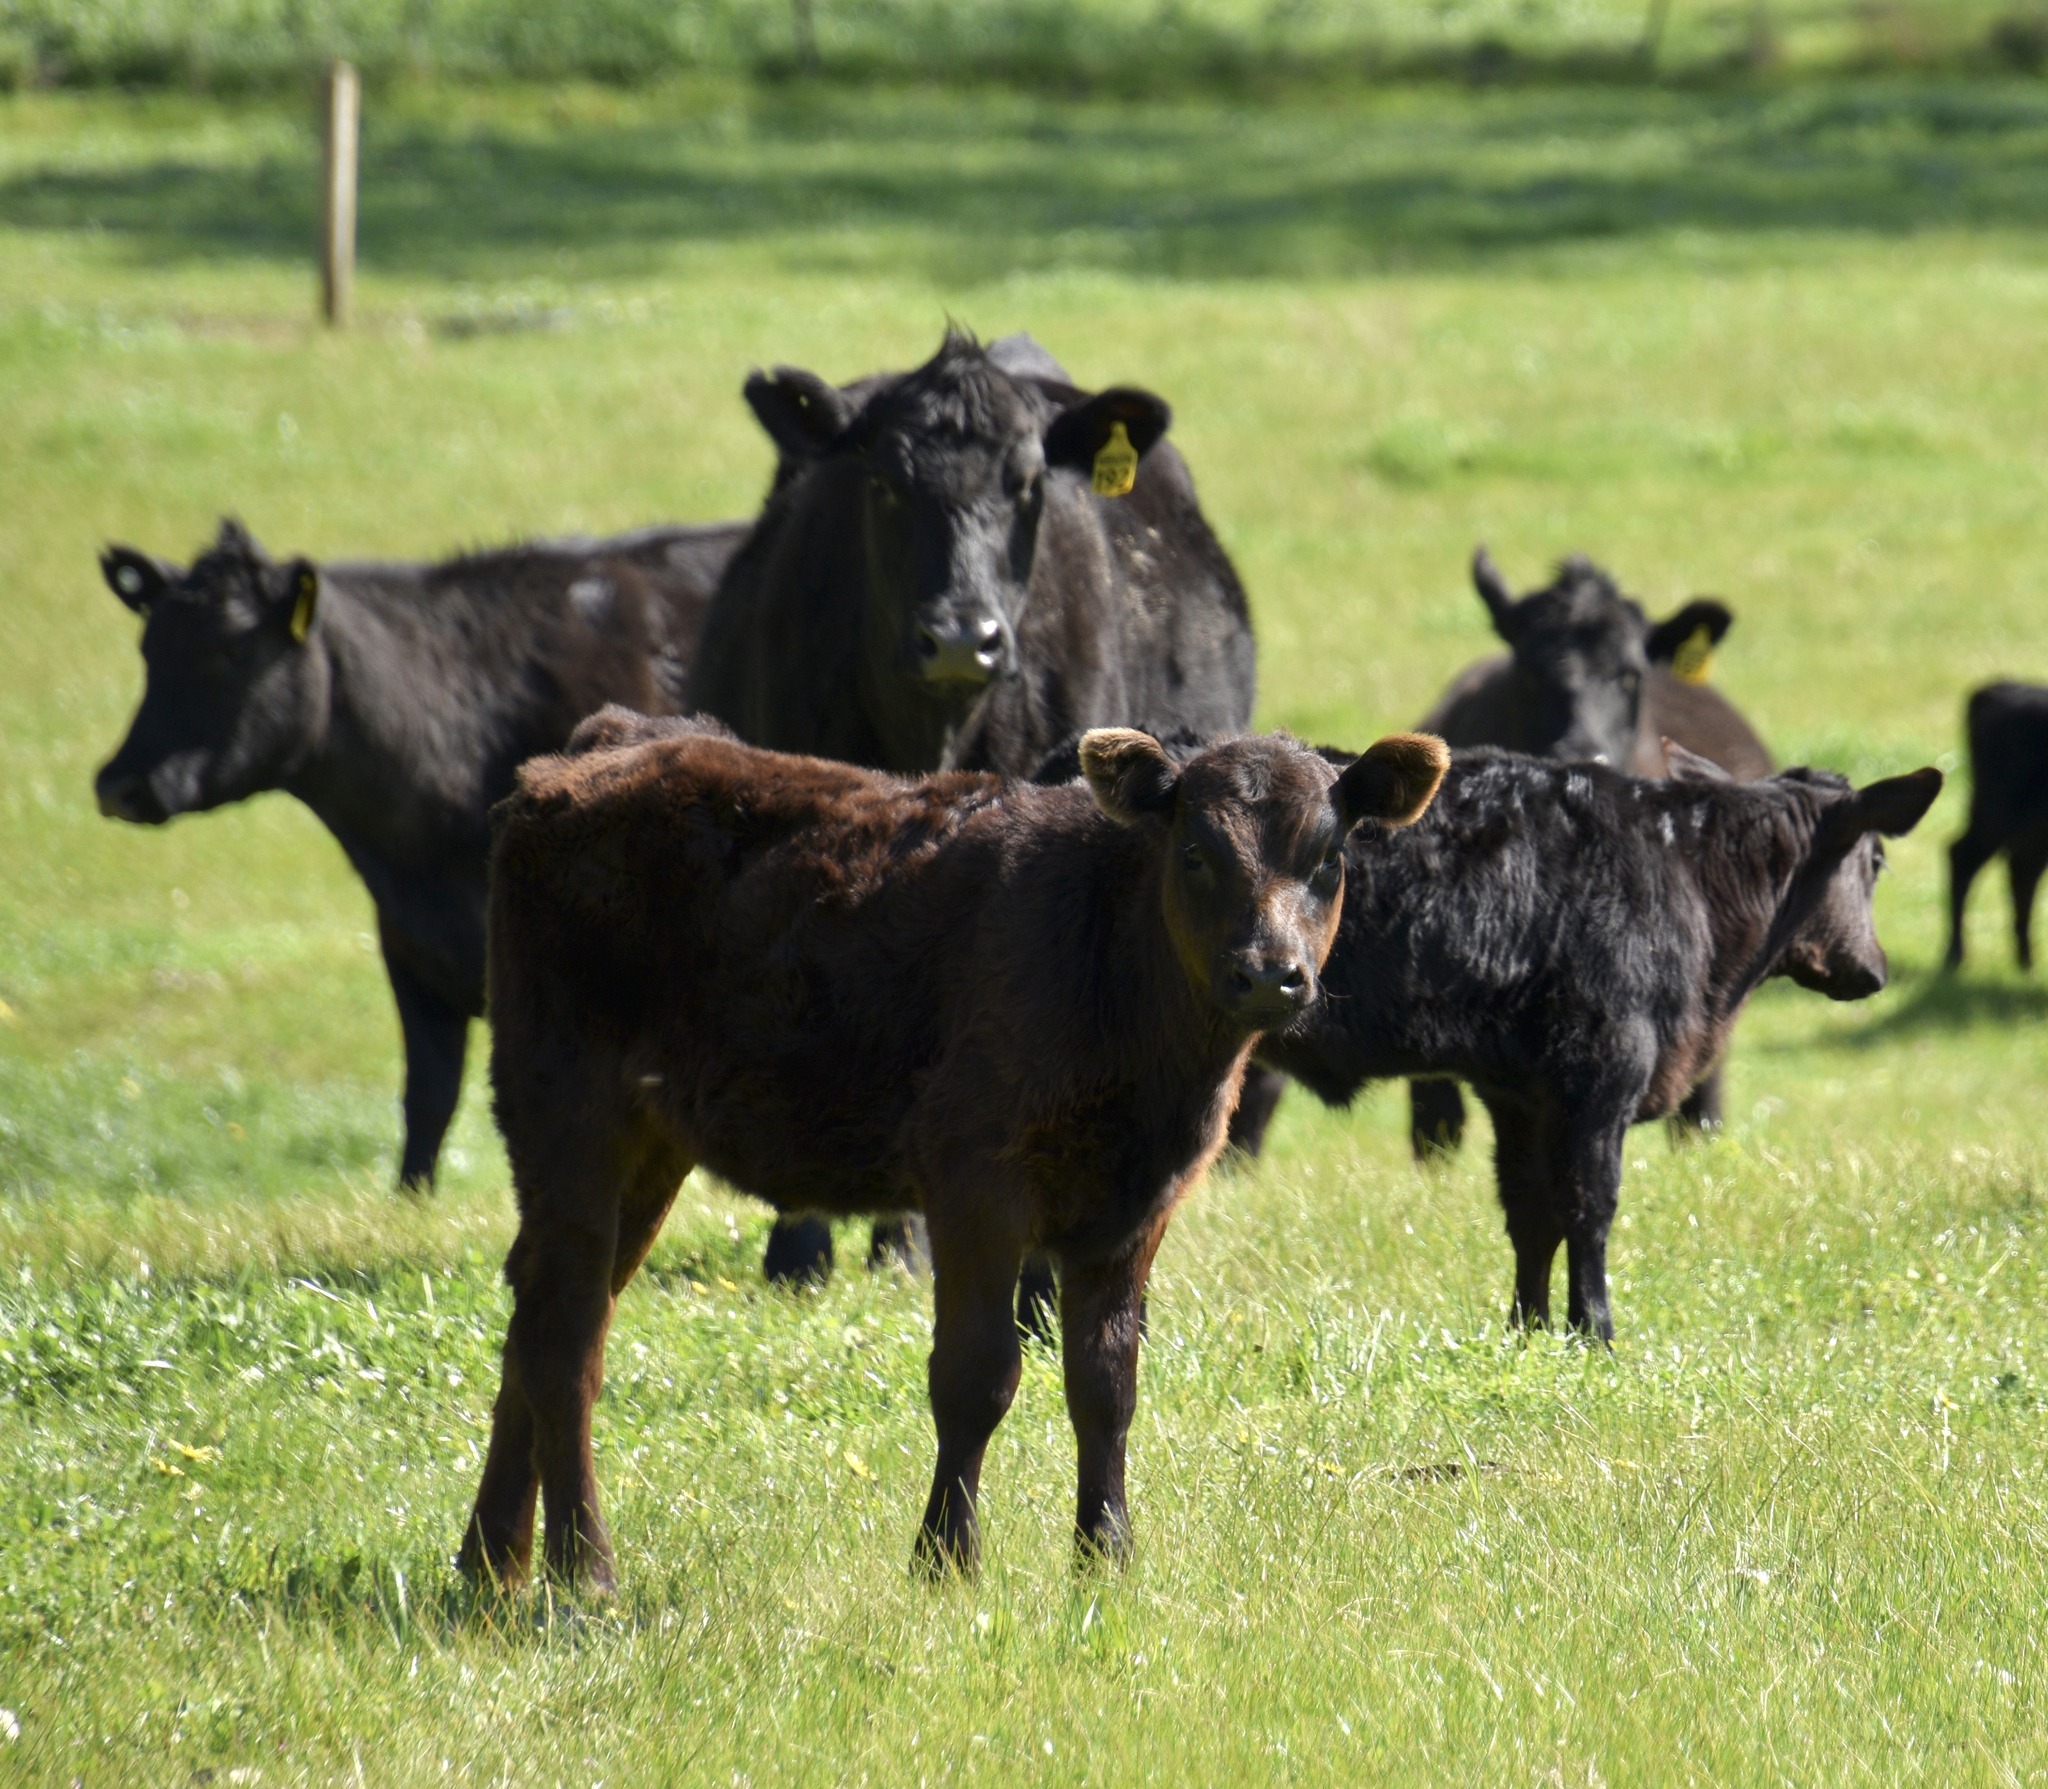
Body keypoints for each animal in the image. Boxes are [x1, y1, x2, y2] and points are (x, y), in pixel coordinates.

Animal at [93, 515, 748, 1190]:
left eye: (231, 651)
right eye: (148, 649)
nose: (119, 785)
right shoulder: (408, 952)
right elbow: (429, 1100)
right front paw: (412, 1200)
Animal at [458, 711, 1448, 1589]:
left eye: (1329, 860)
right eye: (1196, 854)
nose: (1269, 974)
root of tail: (600, 748)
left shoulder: (1136, 1206)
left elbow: (1107, 1383)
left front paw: (1105, 1559)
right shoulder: (977, 1175)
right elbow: (977, 1374)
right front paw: (946, 1561)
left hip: (649, 1143)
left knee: (535, 1323)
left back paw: (491, 1565)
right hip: (566, 1110)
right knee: (565, 1338)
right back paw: (585, 1575)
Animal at [1254, 743, 1942, 1342]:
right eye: (1876, 862)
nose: (1874, 970)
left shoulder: (1518, 1091)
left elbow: (1530, 1210)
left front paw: (1527, 1331)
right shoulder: (1603, 1069)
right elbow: (1588, 1206)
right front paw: (1595, 1334)